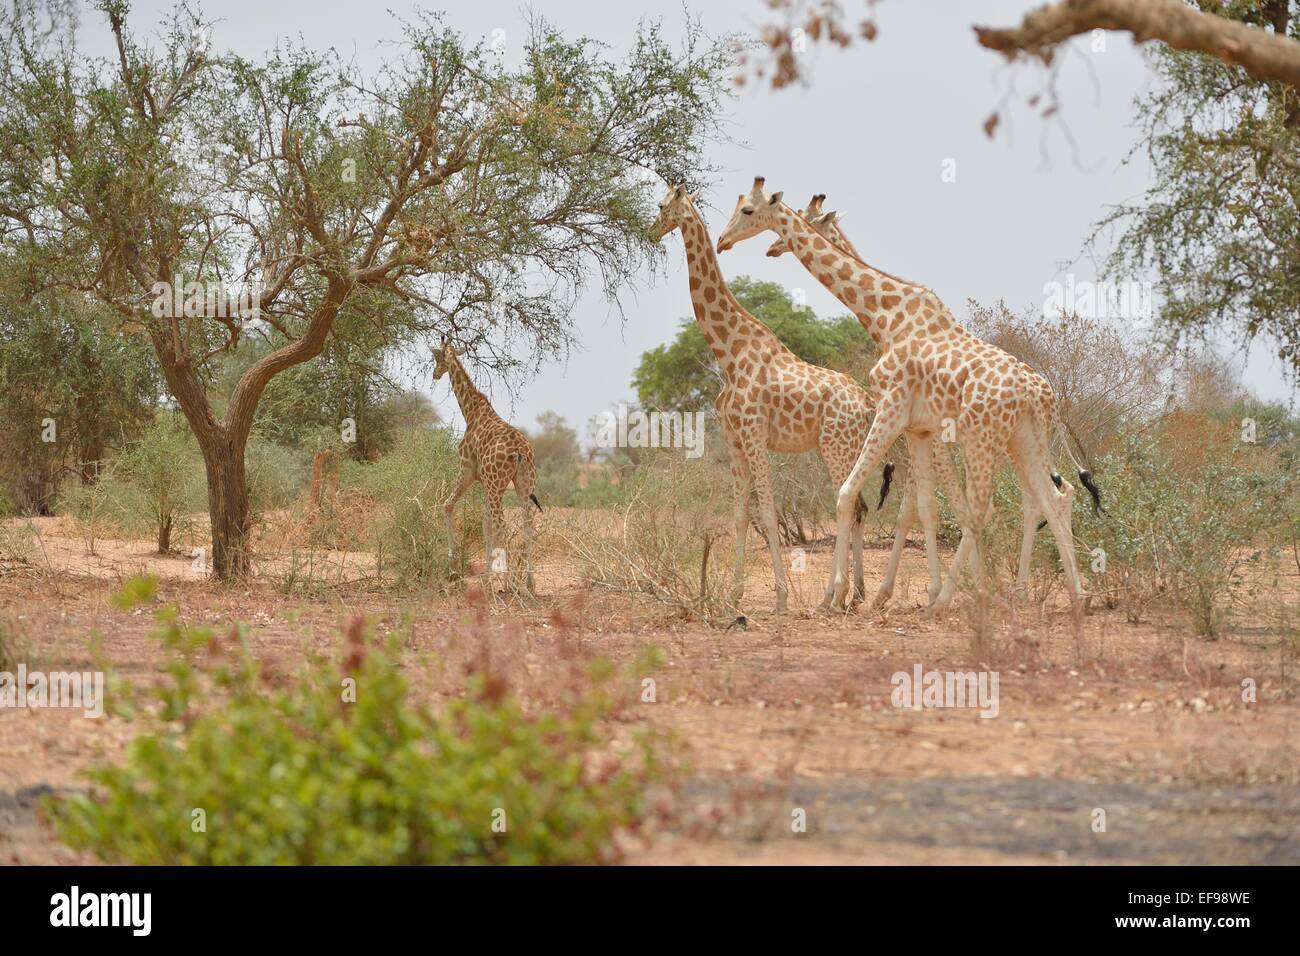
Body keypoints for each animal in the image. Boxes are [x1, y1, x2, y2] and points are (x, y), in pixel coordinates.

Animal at [434, 336, 541, 594]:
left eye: (437, 357)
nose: (435, 374)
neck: (470, 412)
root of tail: (520, 451)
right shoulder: (484, 482)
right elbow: (485, 524)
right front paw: (486, 576)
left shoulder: (467, 471)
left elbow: (447, 506)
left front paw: (453, 570)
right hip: (522, 484)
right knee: (527, 523)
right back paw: (529, 583)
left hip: (497, 484)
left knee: (503, 523)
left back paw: (507, 582)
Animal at [647, 183, 884, 614]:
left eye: (660, 205)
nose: (650, 230)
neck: (728, 351)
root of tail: (867, 404)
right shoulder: (734, 439)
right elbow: (741, 516)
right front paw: (735, 595)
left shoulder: (755, 436)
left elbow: (770, 514)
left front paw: (781, 598)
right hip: (847, 447)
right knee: (856, 506)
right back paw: (848, 595)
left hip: (837, 447)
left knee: (848, 506)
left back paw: (837, 596)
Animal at [718, 178, 1098, 613]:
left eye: (748, 210)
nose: (726, 241)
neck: (885, 314)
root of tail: (1043, 396)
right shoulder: (921, 428)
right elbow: (923, 507)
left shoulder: (898, 412)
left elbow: (874, 499)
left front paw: (859, 595)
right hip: (1024, 439)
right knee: (1051, 497)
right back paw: (1070, 594)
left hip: (984, 439)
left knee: (995, 506)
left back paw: (969, 598)